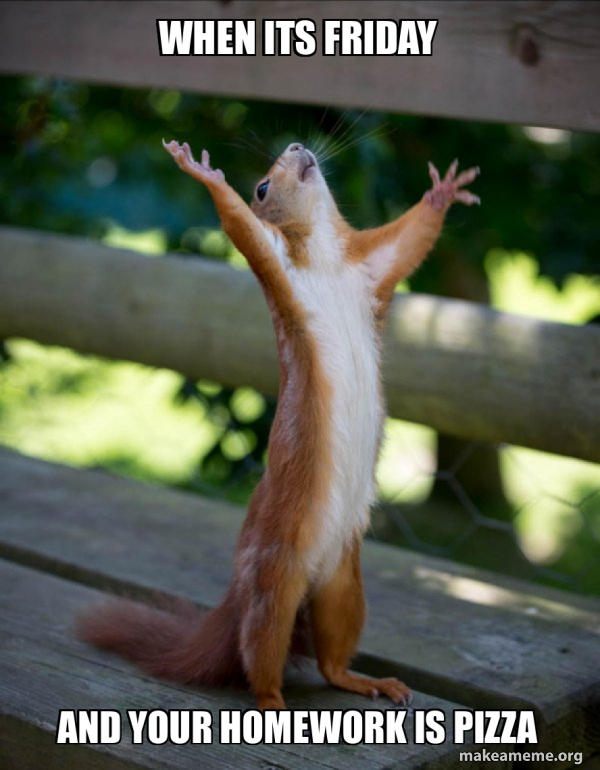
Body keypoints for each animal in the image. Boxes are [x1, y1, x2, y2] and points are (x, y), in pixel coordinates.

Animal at [78, 139, 479, 710]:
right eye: (262, 187)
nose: (296, 146)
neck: (326, 257)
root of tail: (238, 596)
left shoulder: (372, 267)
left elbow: (410, 240)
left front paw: (442, 192)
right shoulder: (276, 264)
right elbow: (240, 225)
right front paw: (204, 173)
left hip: (344, 586)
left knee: (332, 659)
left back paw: (367, 681)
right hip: (274, 584)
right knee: (259, 656)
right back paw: (273, 702)